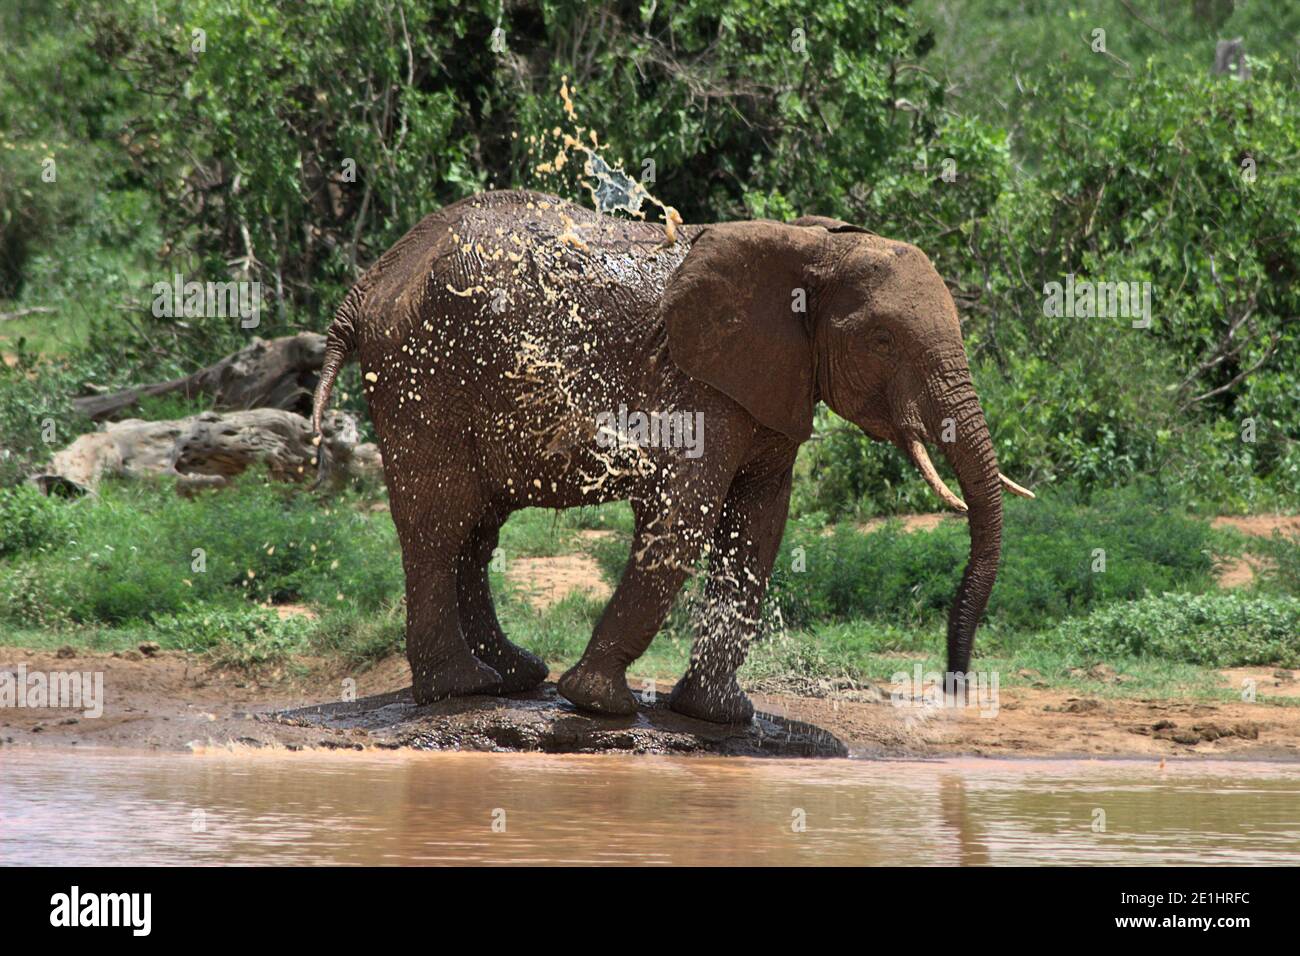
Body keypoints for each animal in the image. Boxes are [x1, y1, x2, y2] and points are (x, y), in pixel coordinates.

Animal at [312, 189, 1033, 723]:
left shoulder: (771, 385)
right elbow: (685, 517)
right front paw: (600, 705)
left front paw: (718, 714)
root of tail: (364, 286)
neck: (812, 246)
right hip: (421, 378)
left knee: (477, 530)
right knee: (441, 523)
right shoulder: (698, 385)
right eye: (883, 340)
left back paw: (515, 675)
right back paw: (462, 688)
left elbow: (759, 526)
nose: (954, 688)